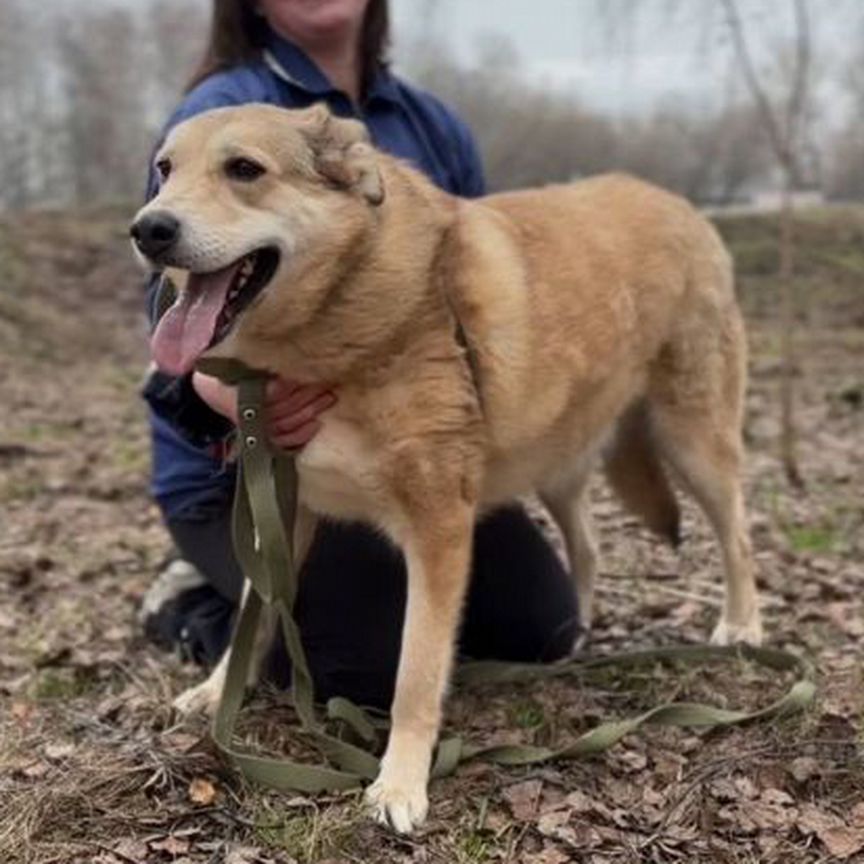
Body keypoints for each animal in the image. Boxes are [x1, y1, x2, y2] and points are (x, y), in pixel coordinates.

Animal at [132, 104, 760, 832]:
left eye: (243, 169)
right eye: (164, 169)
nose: (148, 229)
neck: (346, 327)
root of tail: (678, 203)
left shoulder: (438, 532)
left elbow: (415, 671)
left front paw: (401, 784)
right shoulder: (282, 509)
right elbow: (249, 617)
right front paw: (215, 694)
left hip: (693, 440)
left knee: (737, 534)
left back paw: (743, 626)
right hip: (555, 460)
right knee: (589, 546)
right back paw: (574, 632)